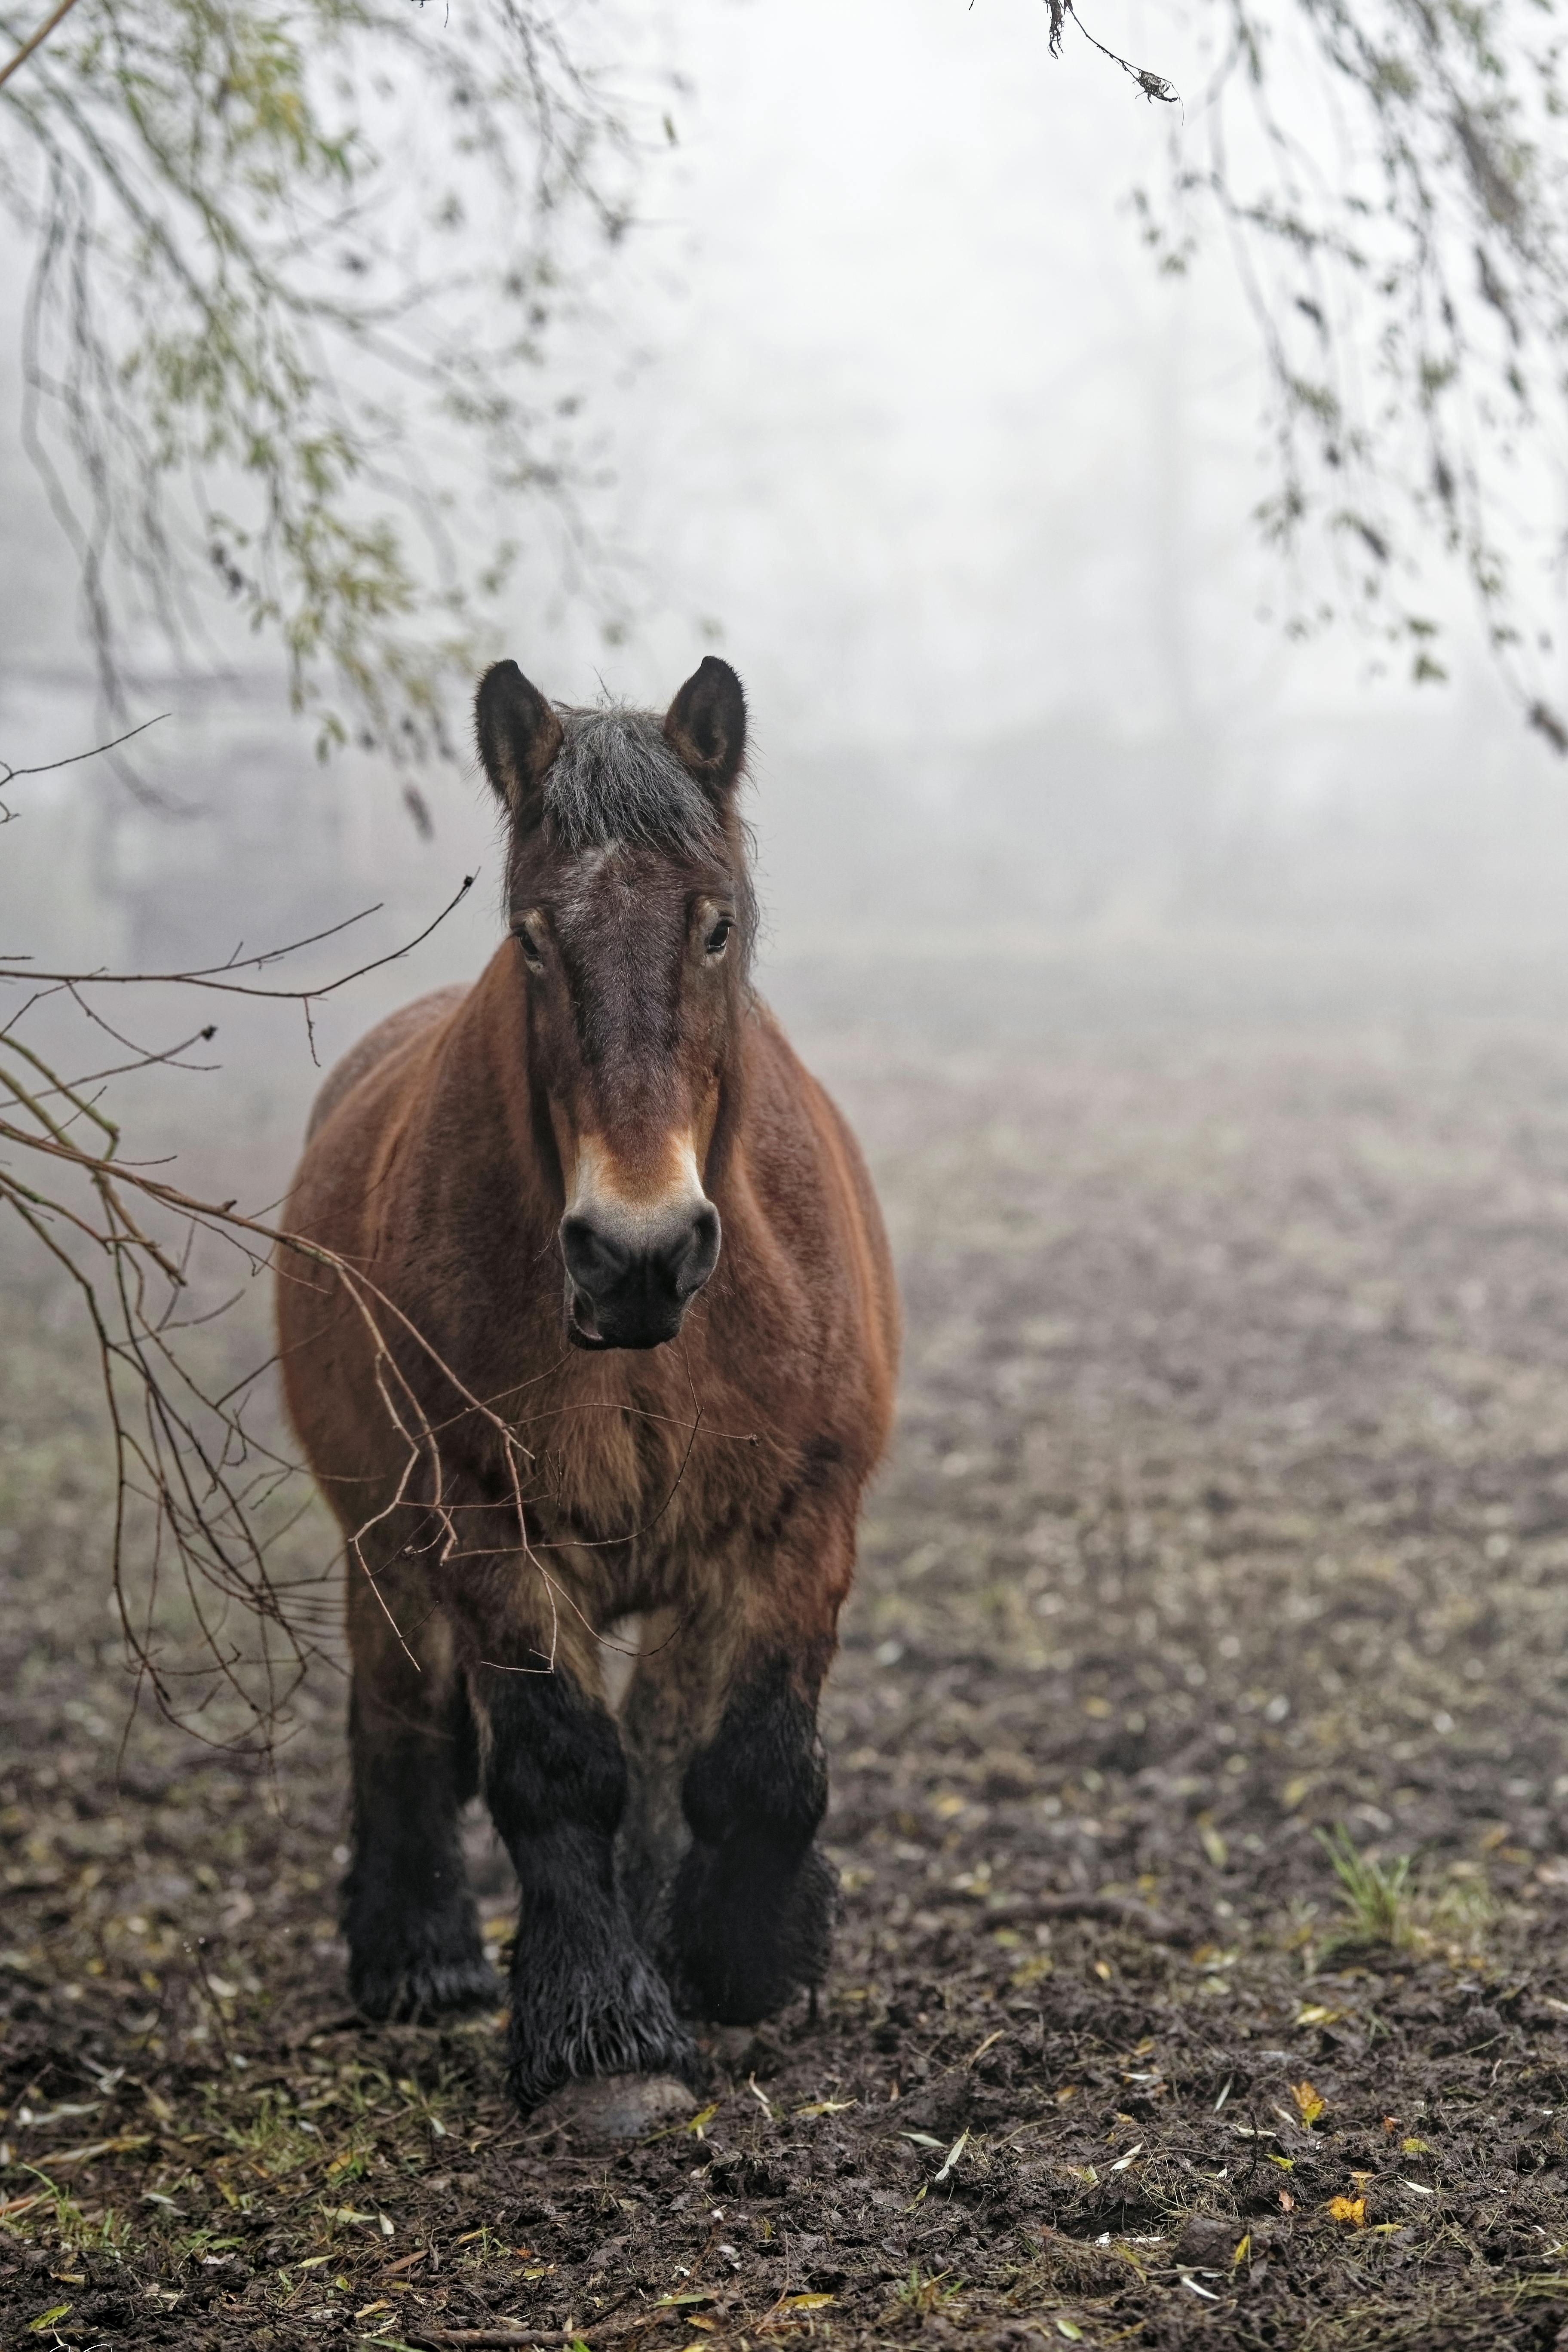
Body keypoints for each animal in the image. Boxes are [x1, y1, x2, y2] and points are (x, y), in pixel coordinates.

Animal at [276, 656, 899, 2125]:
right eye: (533, 939)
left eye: (714, 926)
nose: (638, 1251)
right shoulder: (489, 1527)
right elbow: (558, 1767)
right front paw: (605, 2034)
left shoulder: (800, 1518)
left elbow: (752, 1764)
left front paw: (735, 1962)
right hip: (383, 1540)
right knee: (402, 1715)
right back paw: (418, 1949)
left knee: (670, 1736)